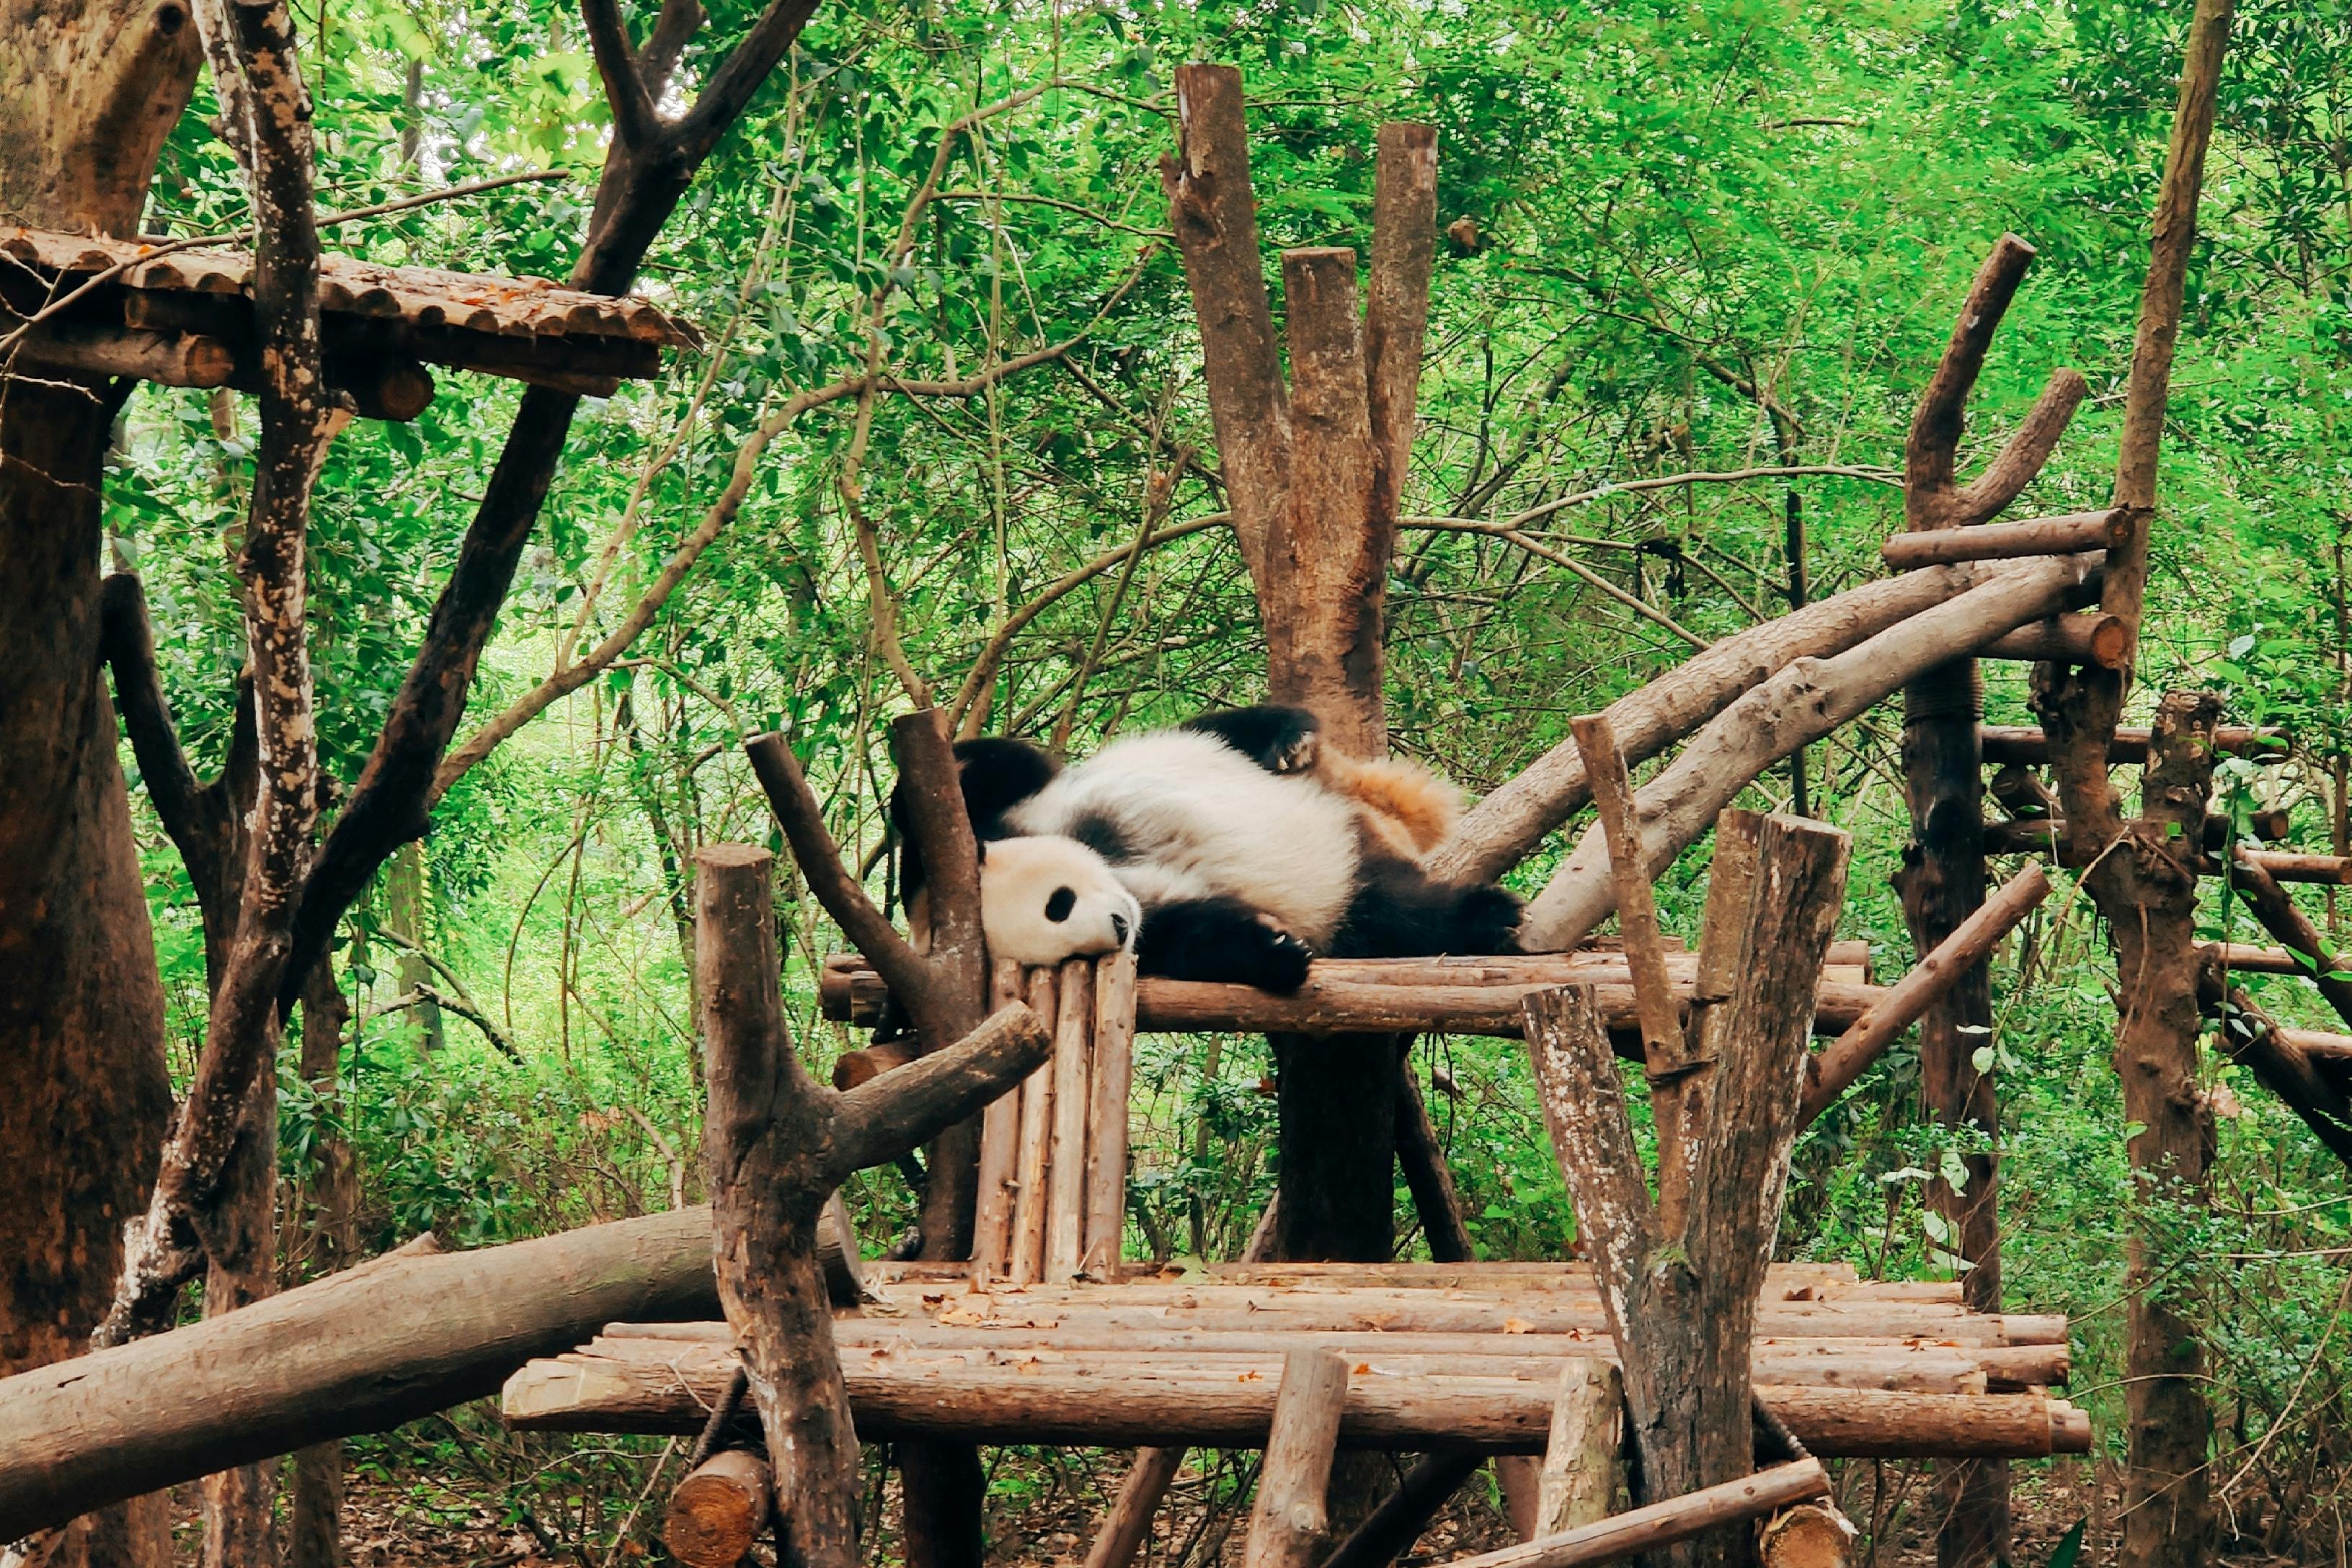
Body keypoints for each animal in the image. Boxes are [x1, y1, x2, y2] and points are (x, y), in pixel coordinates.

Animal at [897, 705, 1521, 992]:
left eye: (1058, 903)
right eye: (1067, 949)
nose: (1118, 926)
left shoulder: (1014, 808)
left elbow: (996, 766)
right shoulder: (1159, 929)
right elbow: (1199, 936)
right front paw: (1276, 950)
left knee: (1223, 731)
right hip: (1354, 893)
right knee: (1396, 916)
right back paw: (1484, 920)